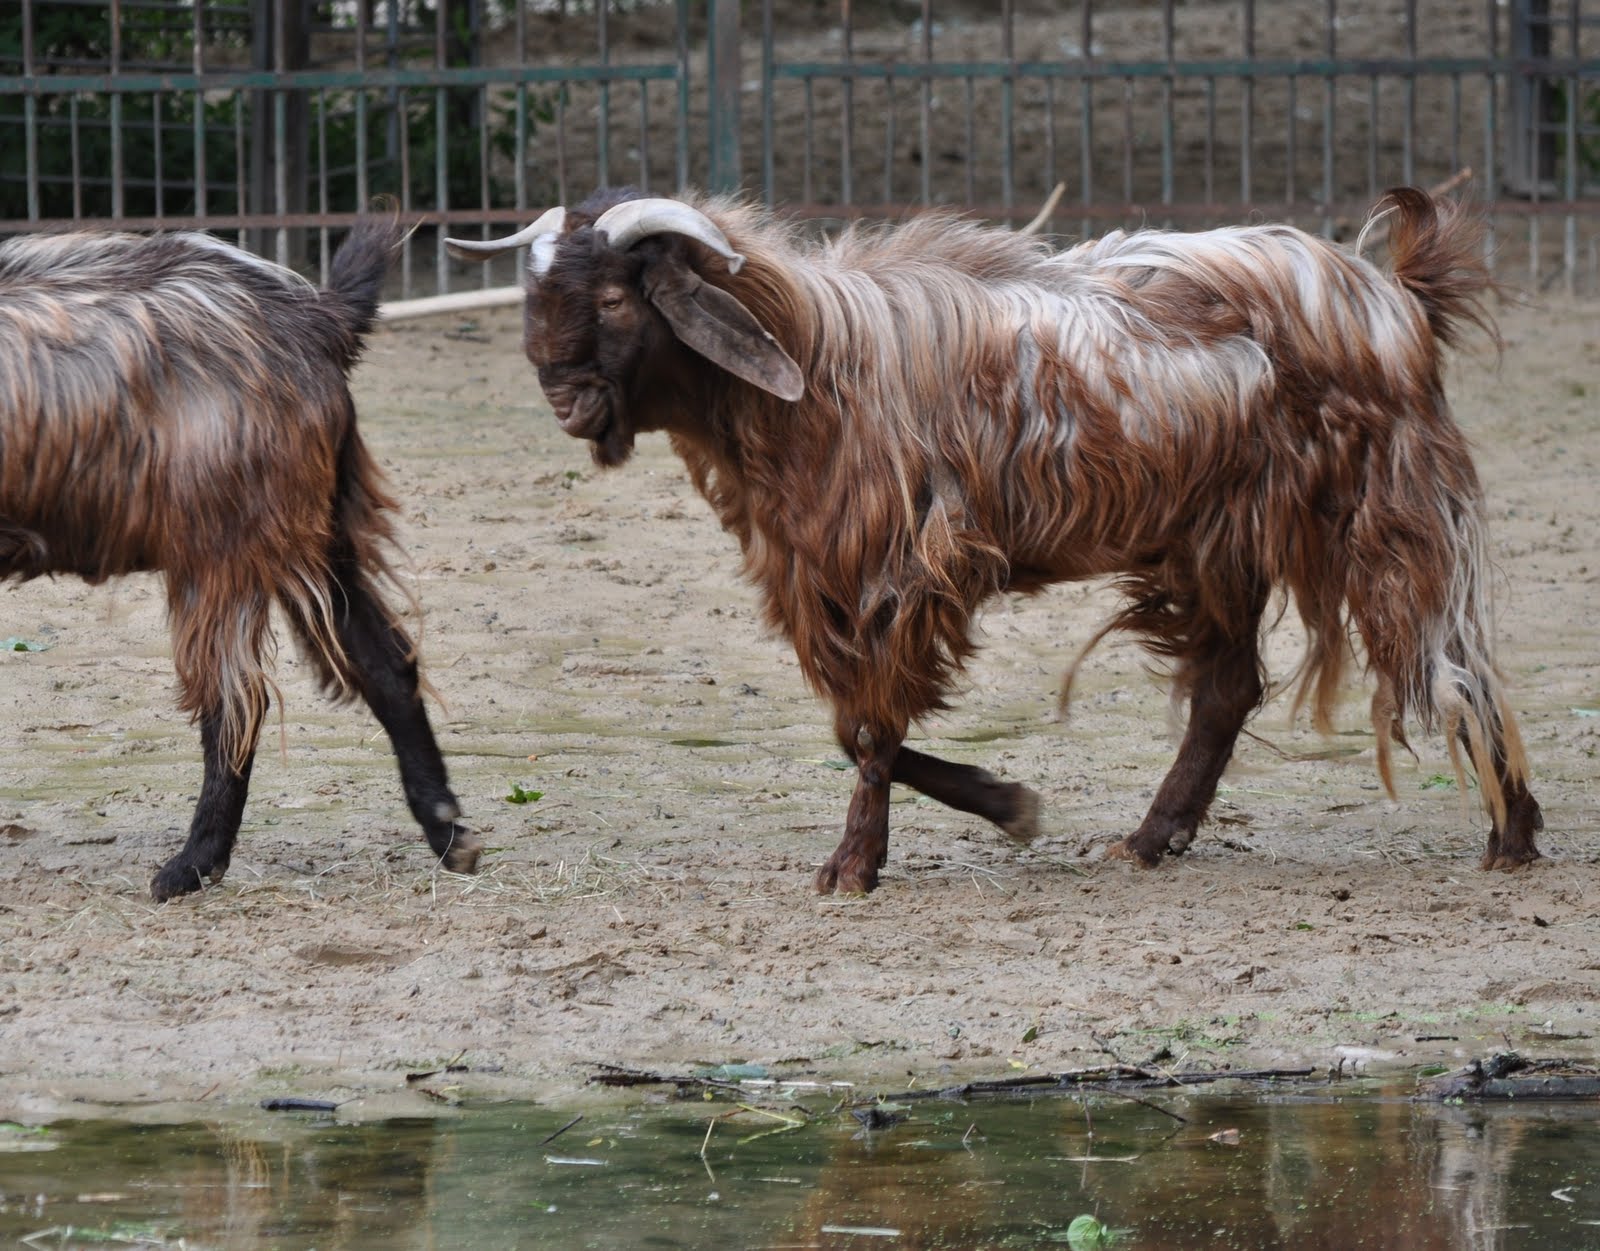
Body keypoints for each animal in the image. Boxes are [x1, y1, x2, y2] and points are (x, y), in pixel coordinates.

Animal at [0, 220, 477, 900]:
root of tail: (315, 317)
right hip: (316, 533)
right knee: (387, 662)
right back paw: (447, 831)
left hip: (223, 542)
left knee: (234, 702)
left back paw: (192, 864)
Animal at [447, 187, 1540, 894]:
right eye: (535, 298)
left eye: (616, 297)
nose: (566, 400)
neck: (817, 358)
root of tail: (1393, 299)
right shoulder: (825, 579)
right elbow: (859, 731)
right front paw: (1005, 803)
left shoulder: (895, 575)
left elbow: (870, 731)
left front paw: (856, 866)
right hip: (1218, 542)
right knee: (1230, 690)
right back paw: (1151, 839)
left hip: (1380, 510)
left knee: (1453, 661)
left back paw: (1513, 836)